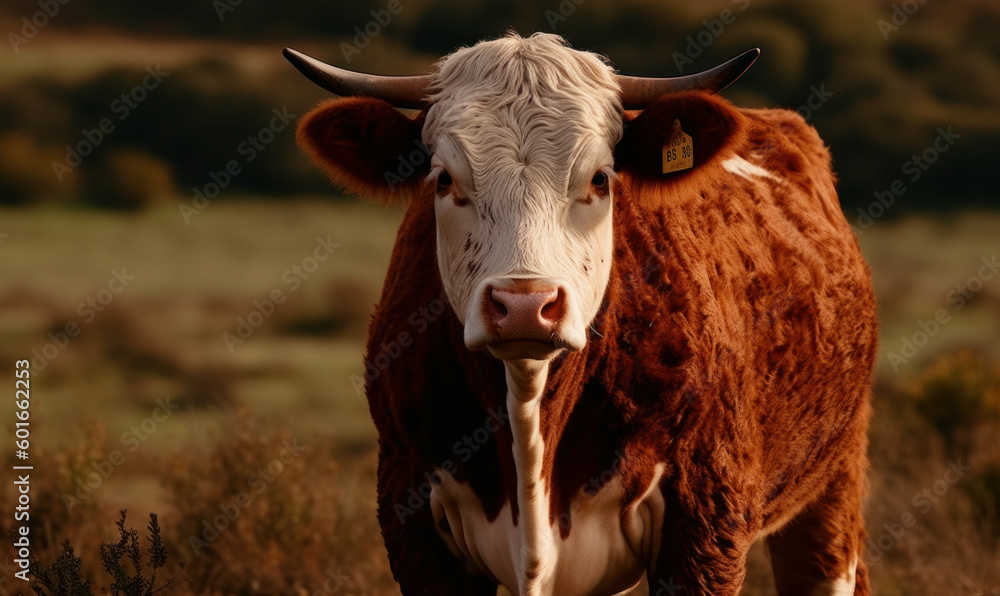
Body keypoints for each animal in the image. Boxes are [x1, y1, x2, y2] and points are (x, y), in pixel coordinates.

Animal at [284, 32, 877, 596]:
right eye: (445, 179)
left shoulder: (706, 526)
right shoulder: (413, 524)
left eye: (600, 179)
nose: (525, 305)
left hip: (833, 489)